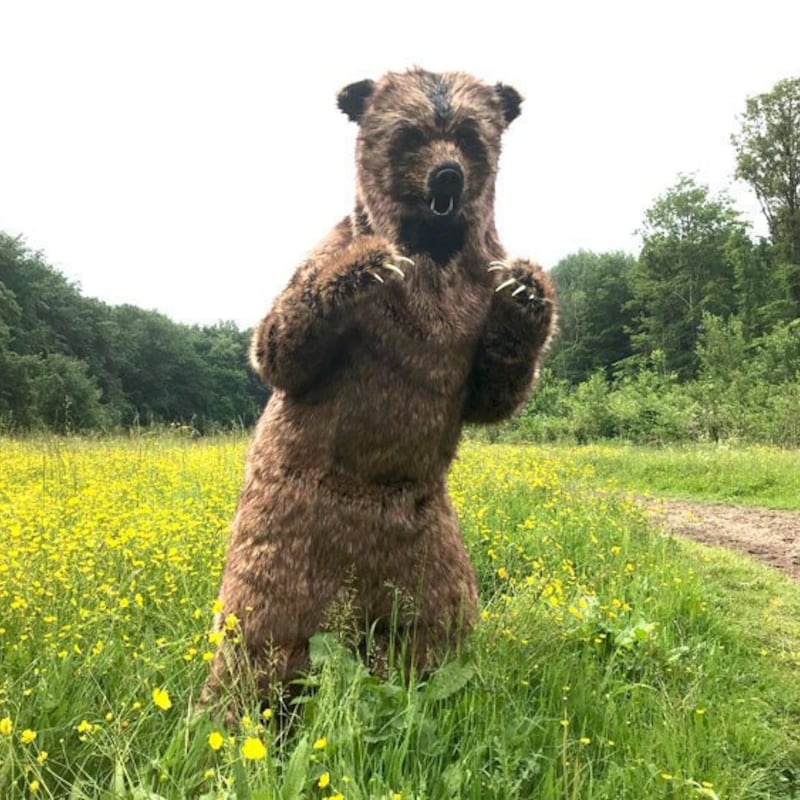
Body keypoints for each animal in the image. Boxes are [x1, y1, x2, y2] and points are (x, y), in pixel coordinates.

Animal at [202, 67, 557, 709]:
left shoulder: (474, 295)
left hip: (427, 546)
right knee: (259, 635)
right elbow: (278, 348)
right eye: (410, 135)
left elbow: (494, 393)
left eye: (468, 136)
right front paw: (366, 268)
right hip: (288, 531)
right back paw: (224, 712)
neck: (434, 252)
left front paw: (527, 288)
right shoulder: (327, 254)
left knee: (434, 627)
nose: (448, 175)